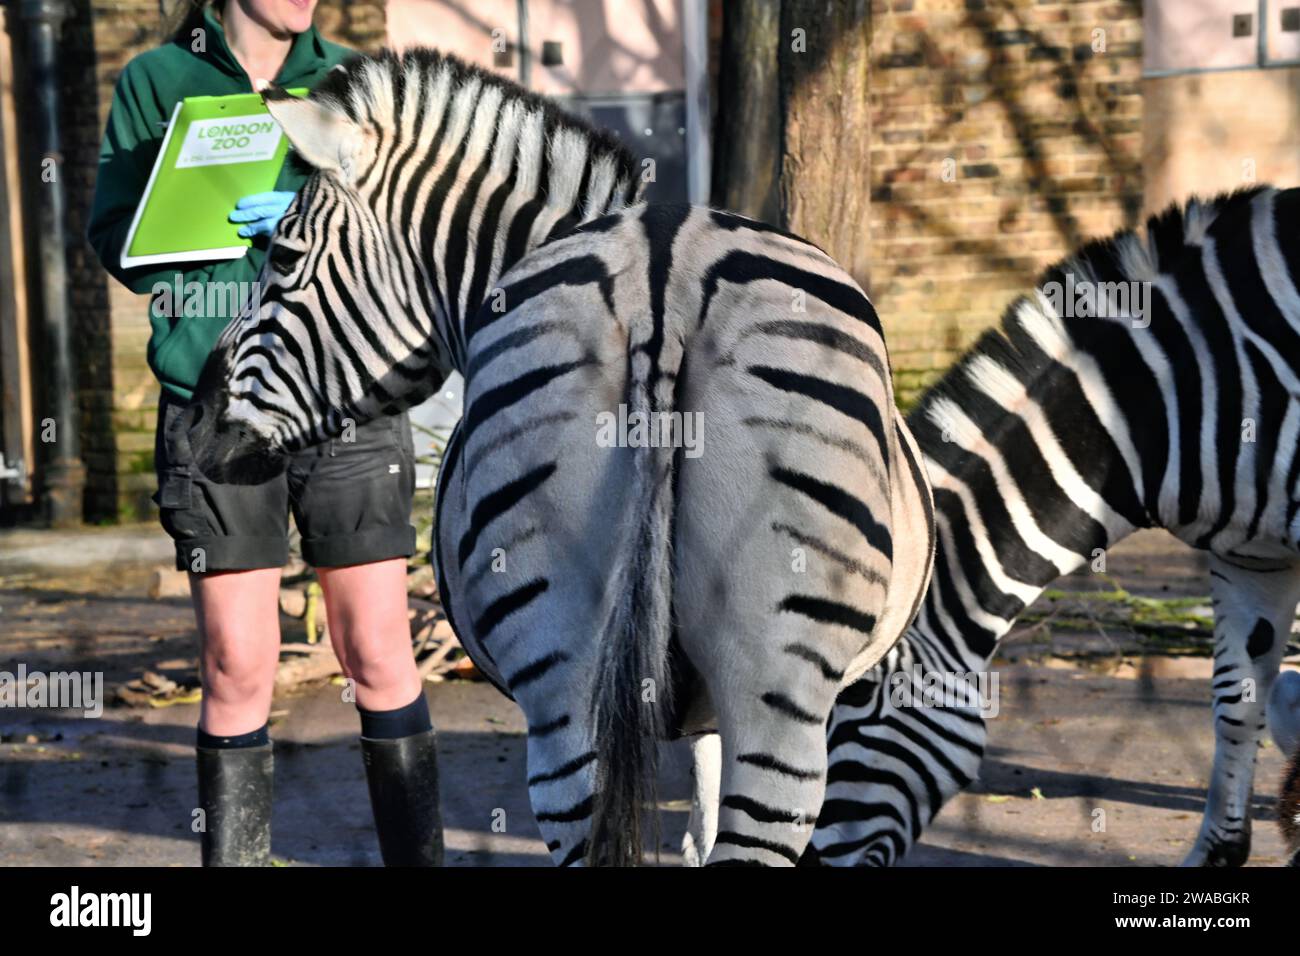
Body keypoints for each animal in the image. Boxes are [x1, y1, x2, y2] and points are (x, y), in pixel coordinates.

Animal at [686, 185, 1300, 867]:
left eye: (853, 713)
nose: (810, 864)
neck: (1160, 403)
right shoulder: (1250, 556)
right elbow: (1236, 701)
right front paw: (1215, 855)